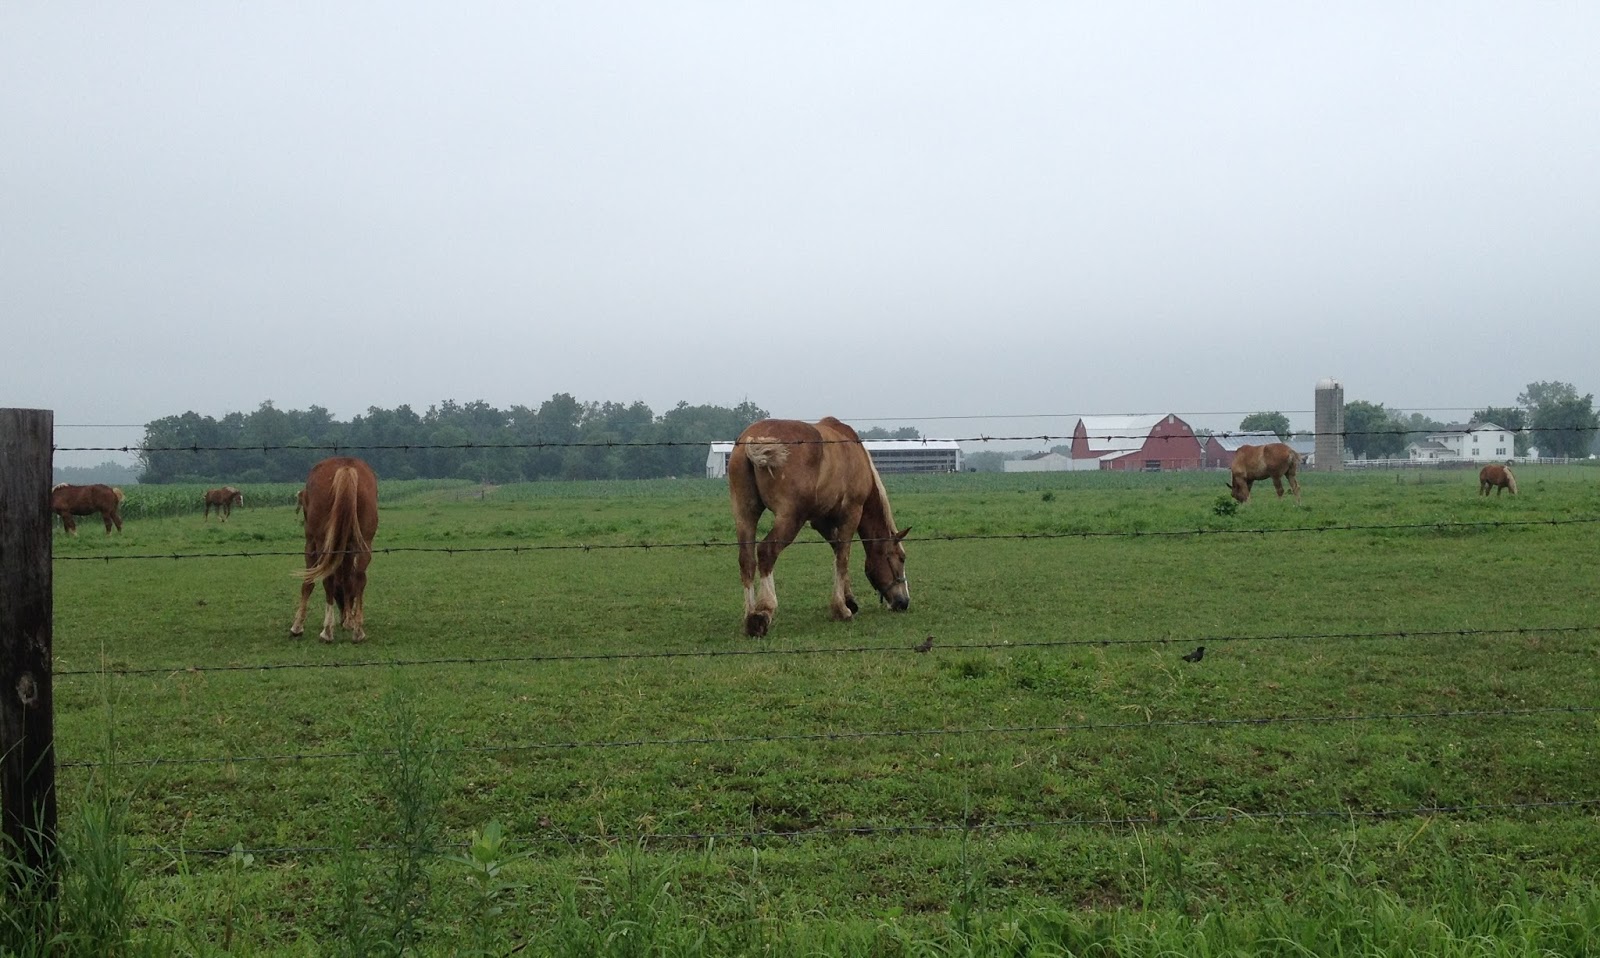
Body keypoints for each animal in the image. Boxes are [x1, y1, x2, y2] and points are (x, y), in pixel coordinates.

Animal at [290, 457, 379, 643]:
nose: (343, 617)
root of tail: (346, 466)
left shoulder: (311, 544)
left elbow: (308, 582)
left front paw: (297, 626)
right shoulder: (349, 548)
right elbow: (347, 578)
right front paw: (350, 621)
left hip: (322, 542)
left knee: (328, 578)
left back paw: (327, 631)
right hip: (365, 542)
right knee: (360, 577)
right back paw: (358, 631)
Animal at [728, 417, 911, 637]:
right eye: (901, 558)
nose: (904, 602)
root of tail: (753, 440)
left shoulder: (821, 521)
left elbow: (837, 552)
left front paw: (849, 600)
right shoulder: (851, 514)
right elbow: (843, 557)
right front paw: (841, 609)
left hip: (745, 514)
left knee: (746, 560)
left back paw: (750, 614)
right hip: (790, 518)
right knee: (766, 552)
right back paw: (763, 612)